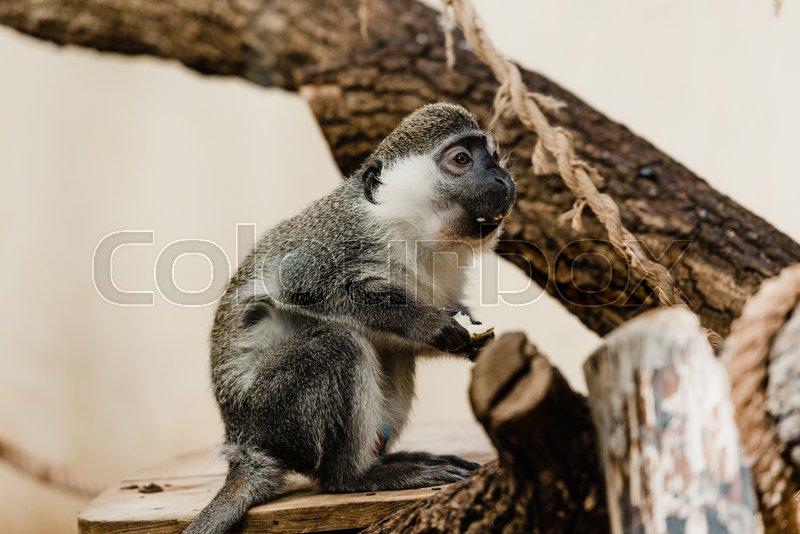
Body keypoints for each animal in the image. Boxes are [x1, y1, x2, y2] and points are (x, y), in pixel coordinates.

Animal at [184, 103, 516, 534]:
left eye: (492, 155)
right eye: (461, 160)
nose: (501, 177)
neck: (415, 231)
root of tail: (243, 443)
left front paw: (473, 342)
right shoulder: (347, 238)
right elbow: (297, 283)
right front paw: (427, 324)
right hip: (270, 410)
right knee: (338, 343)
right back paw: (355, 476)